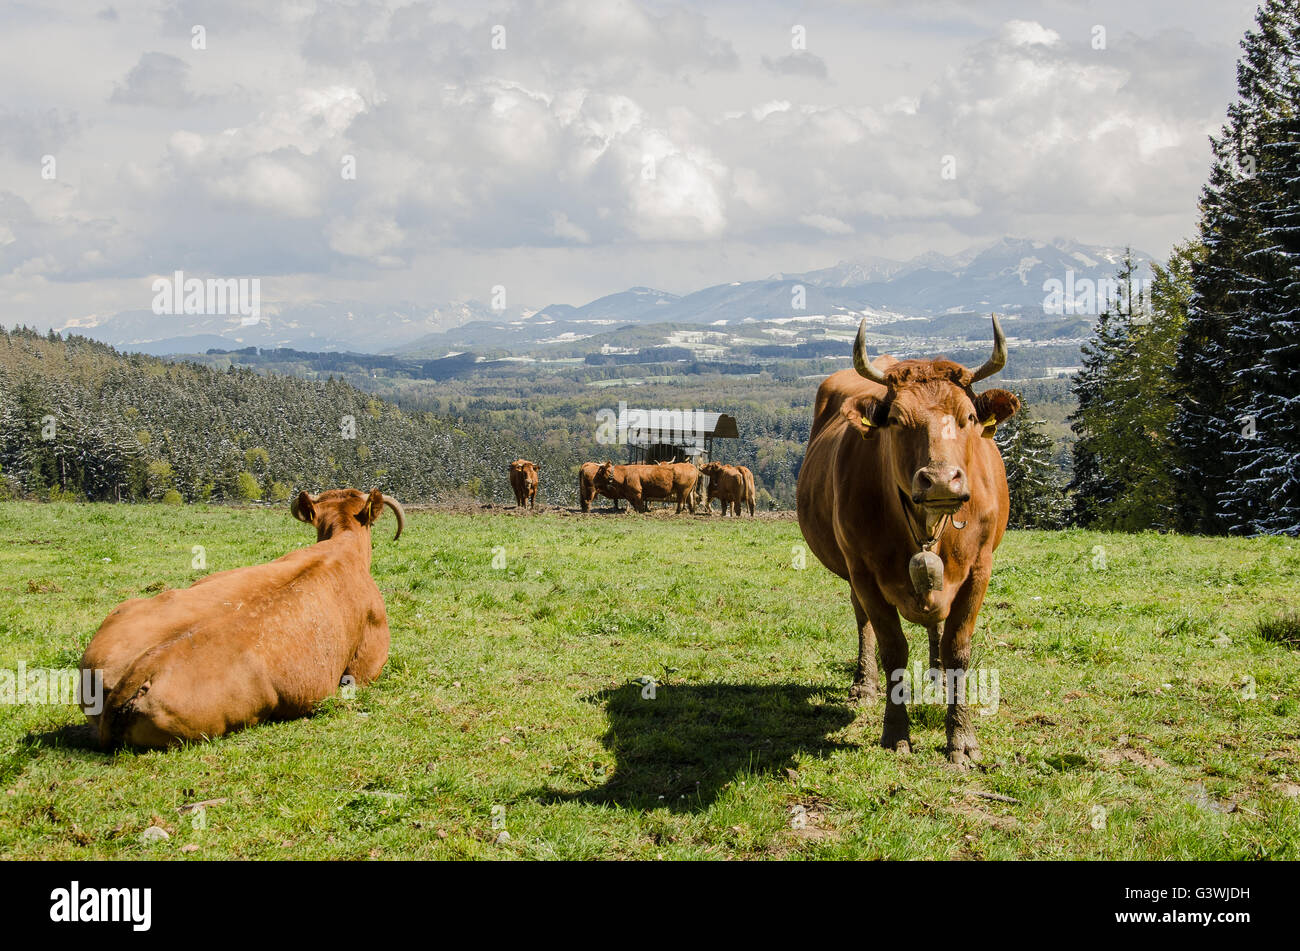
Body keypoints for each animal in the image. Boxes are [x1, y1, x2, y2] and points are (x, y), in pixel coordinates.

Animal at [796, 315, 1019, 766]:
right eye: (897, 419)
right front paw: (896, 732)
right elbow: (892, 648)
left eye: (970, 417)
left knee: (938, 628)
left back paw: (936, 676)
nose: (941, 479)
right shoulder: (864, 572)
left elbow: (958, 648)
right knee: (862, 621)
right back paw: (863, 685)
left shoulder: (979, 569)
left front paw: (961, 739)